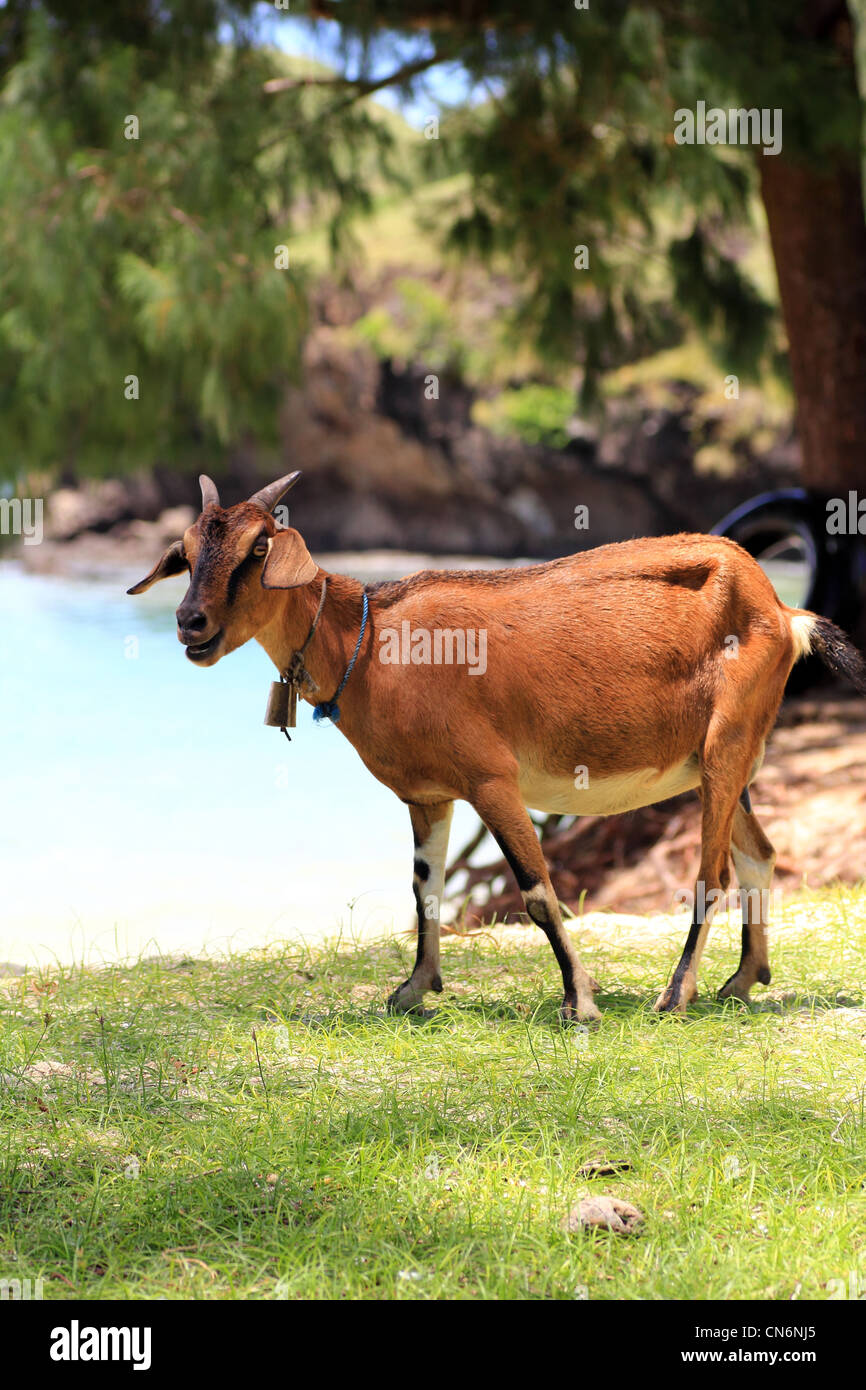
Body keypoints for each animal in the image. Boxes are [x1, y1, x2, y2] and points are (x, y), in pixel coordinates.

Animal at [128, 472, 866, 1021]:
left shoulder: (491, 778)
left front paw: (579, 1003)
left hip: (725, 745)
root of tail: (784, 611)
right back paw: (742, 981)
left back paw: (675, 994)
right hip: (722, 764)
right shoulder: (427, 794)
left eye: (257, 549)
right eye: (186, 553)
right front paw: (412, 991)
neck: (371, 643)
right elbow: (423, 887)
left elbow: (537, 890)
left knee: (713, 874)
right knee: (759, 855)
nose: (190, 622)